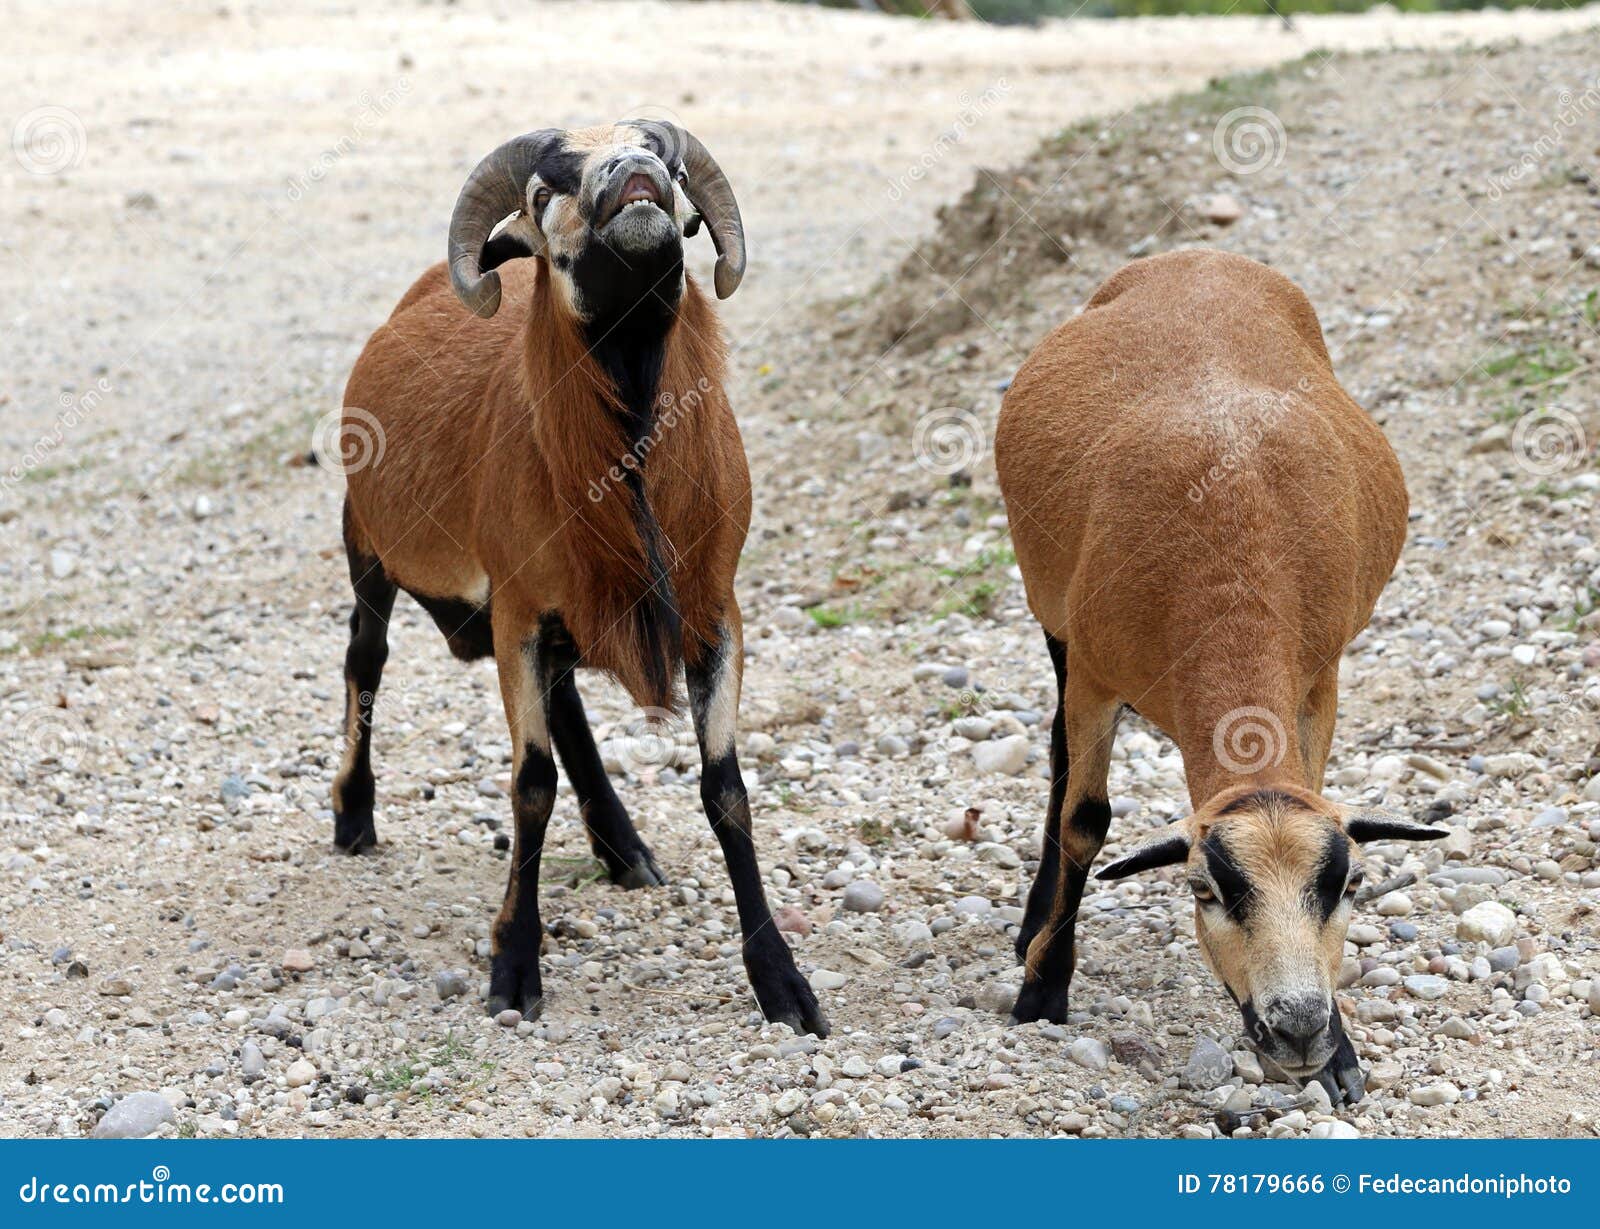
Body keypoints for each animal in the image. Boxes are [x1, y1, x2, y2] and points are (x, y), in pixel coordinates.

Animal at [330, 121, 827, 1036]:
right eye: (542, 188)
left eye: (668, 161)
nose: (633, 172)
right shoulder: (519, 613)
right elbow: (530, 788)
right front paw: (513, 971)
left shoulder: (714, 614)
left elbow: (727, 791)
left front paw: (785, 987)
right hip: (369, 546)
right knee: (365, 658)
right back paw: (353, 814)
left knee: (563, 704)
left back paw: (625, 850)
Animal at [994, 249, 1444, 1104]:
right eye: (1205, 890)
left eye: (1348, 885)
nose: (1298, 1029)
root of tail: (1194, 255)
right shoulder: (1097, 674)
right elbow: (1086, 819)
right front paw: (1043, 987)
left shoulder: (1319, 678)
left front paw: (1341, 1057)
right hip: (1055, 616)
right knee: (1061, 758)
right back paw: (1034, 927)